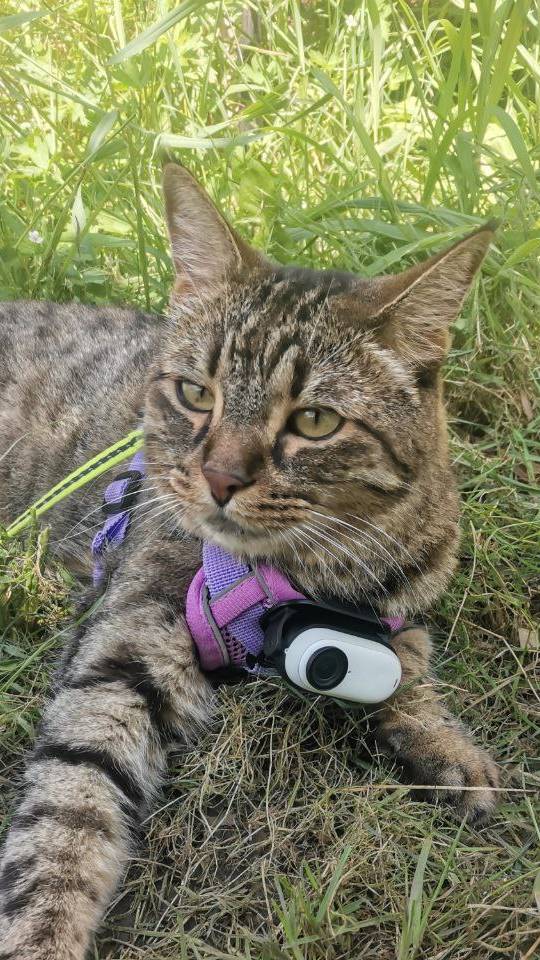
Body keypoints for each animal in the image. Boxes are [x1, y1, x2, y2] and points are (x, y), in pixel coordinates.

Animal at [0, 164, 499, 960]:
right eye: (194, 393)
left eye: (315, 421)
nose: (220, 479)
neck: (315, 572)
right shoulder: (117, 657)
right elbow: (64, 821)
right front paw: (42, 937)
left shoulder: (402, 598)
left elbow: (410, 664)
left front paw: (445, 740)